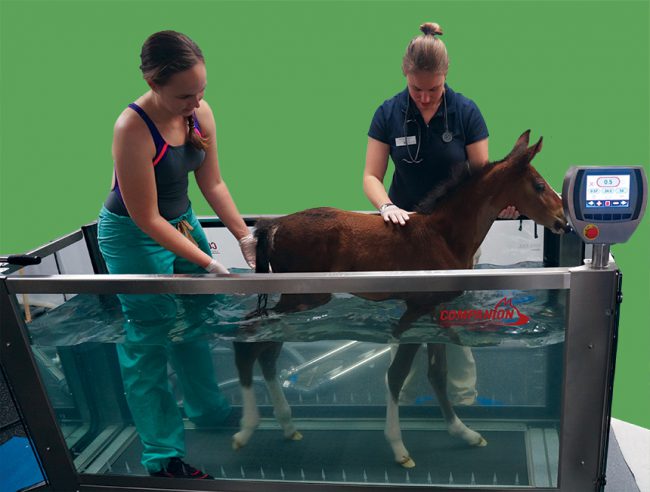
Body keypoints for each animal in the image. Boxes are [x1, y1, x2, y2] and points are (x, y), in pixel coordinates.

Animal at [231, 130, 568, 469]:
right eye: (539, 185)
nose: (563, 222)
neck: (444, 235)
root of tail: (274, 225)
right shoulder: (416, 308)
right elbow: (396, 374)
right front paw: (398, 446)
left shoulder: (434, 310)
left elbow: (438, 373)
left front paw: (465, 433)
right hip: (304, 296)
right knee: (248, 341)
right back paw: (246, 429)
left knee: (267, 353)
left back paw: (287, 425)